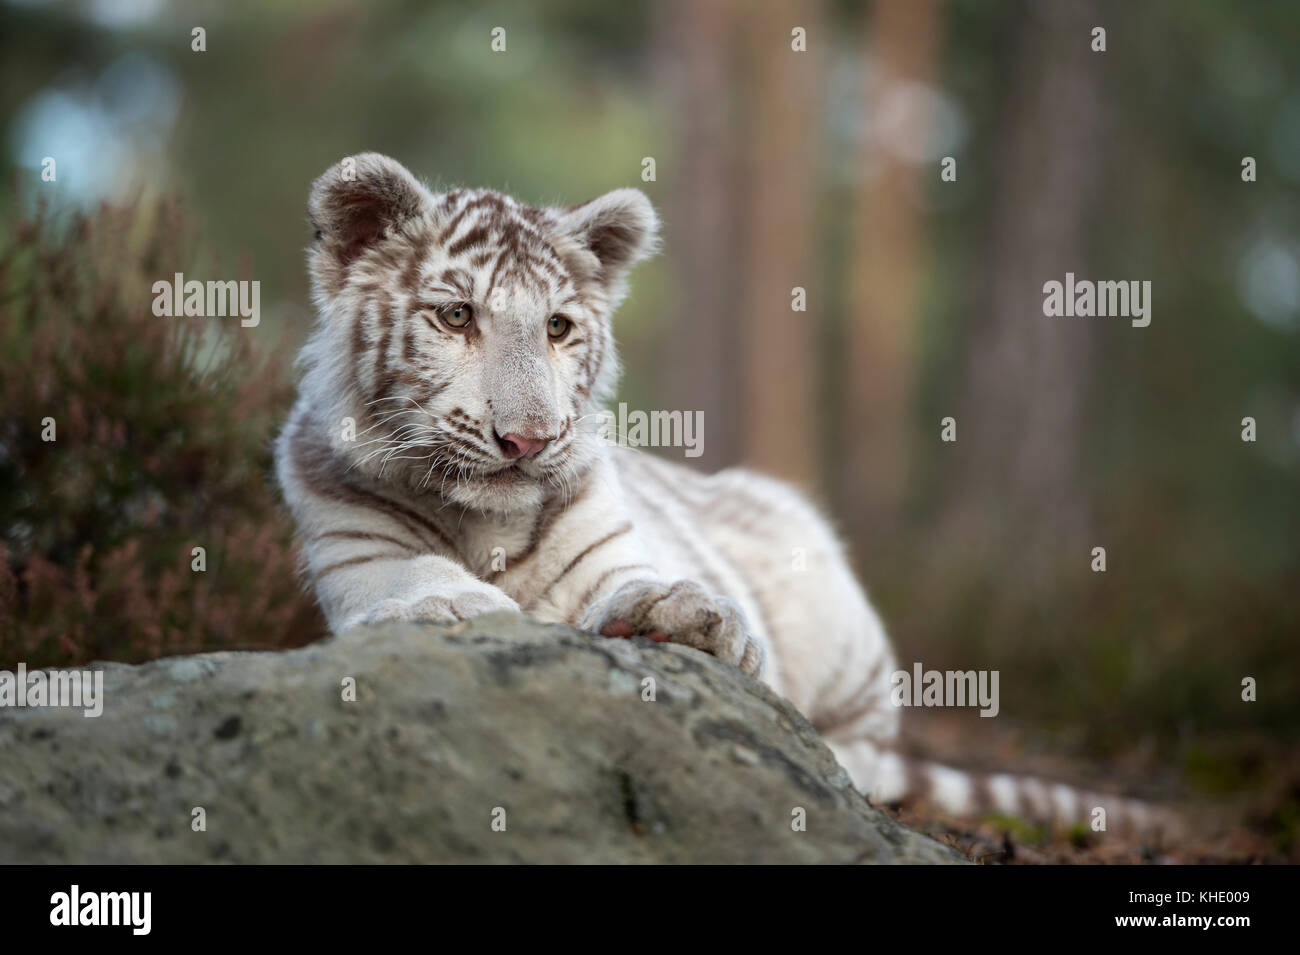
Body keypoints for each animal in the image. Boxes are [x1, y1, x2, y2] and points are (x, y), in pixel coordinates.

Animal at [275, 153, 1166, 835]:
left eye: (559, 327)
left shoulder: (604, 553)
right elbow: (415, 576)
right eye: (457, 316)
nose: (529, 439)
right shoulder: (360, 549)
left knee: (865, 748)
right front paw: (458, 606)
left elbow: (634, 581)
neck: (484, 524)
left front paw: (683, 613)